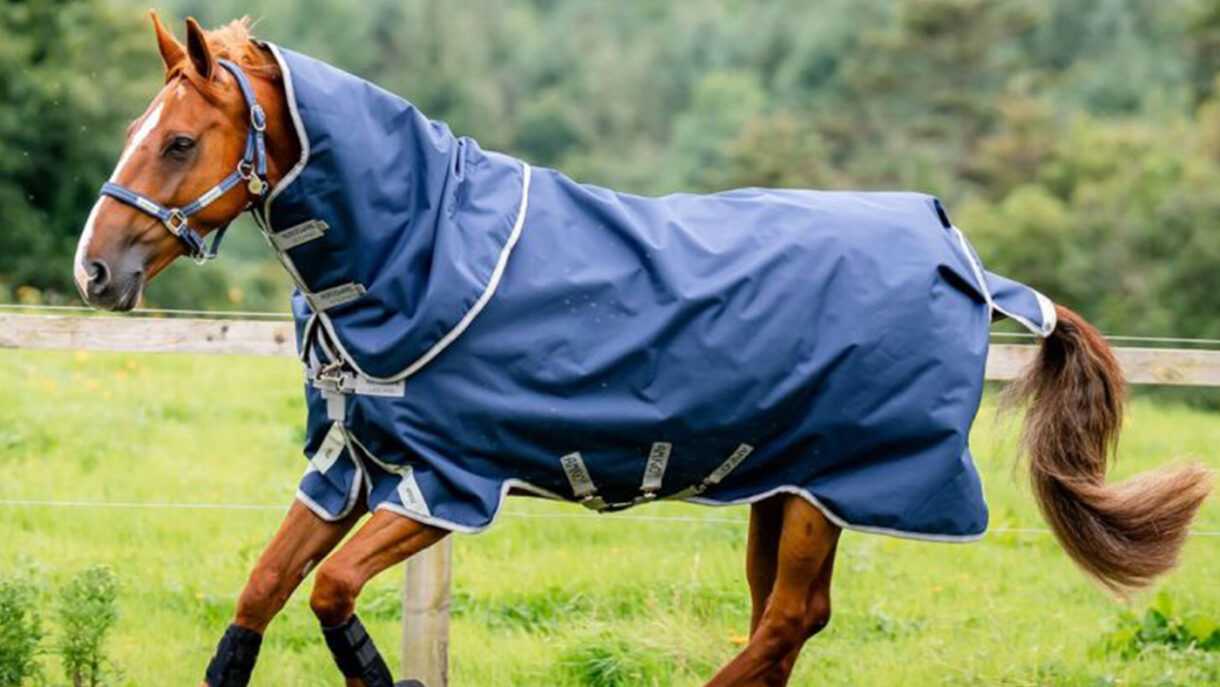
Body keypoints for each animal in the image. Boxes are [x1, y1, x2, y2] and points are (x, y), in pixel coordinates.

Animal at [72, 15, 1212, 687]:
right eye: (137, 129)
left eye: (180, 140)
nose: (95, 271)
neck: (421, 253)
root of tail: (963, 257)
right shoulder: (353, 467)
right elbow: (261, 592)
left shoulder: (449, 485)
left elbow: (330, 592)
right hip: (782, 486)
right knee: (783, 624)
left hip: (829, 487)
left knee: (782, 625)